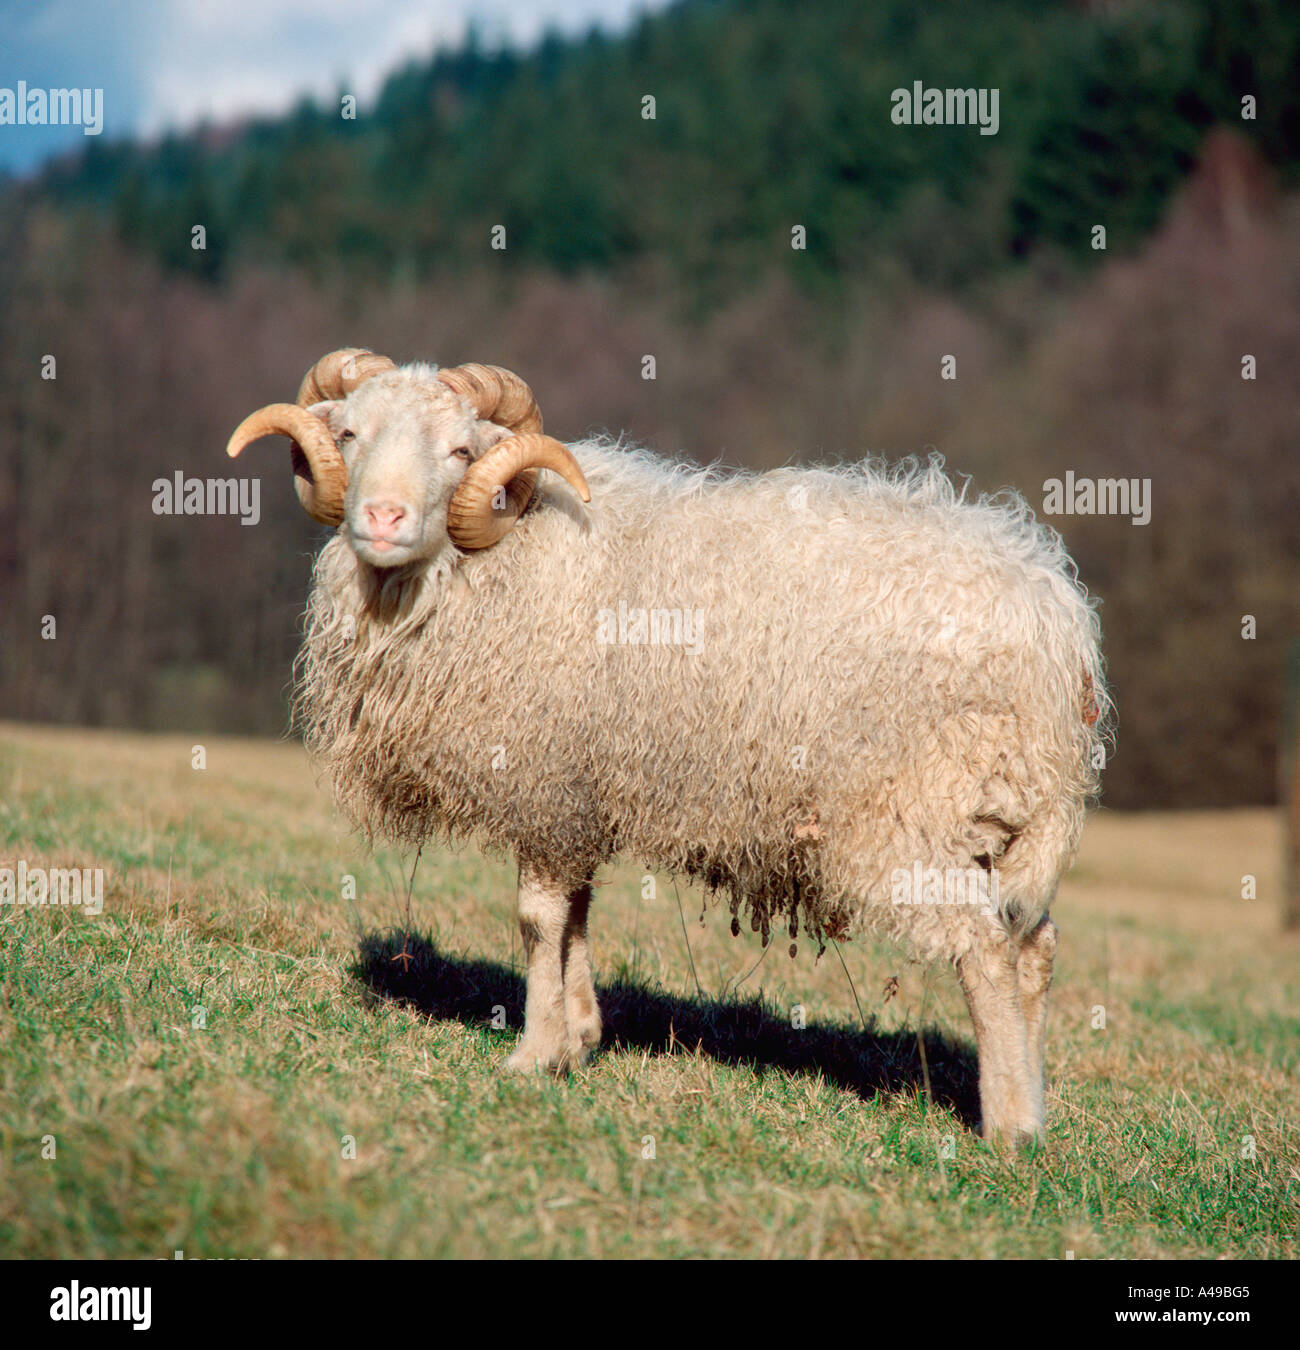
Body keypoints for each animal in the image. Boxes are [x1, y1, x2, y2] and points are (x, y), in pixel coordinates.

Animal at [227, 348, 1110, 1144]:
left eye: (460, 451)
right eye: (348, 433)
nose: (382, 520)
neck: (503, 554)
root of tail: (1053, 614)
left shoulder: (544, 778)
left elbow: (538, 920)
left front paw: (533, 1053)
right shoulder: (577, 790)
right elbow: (576, 914)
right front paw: (580, 1036)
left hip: (911, 815)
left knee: (986, 951)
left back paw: (1009, 1130)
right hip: (1001, 814)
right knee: (1033, 947)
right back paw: (1033, 1104)